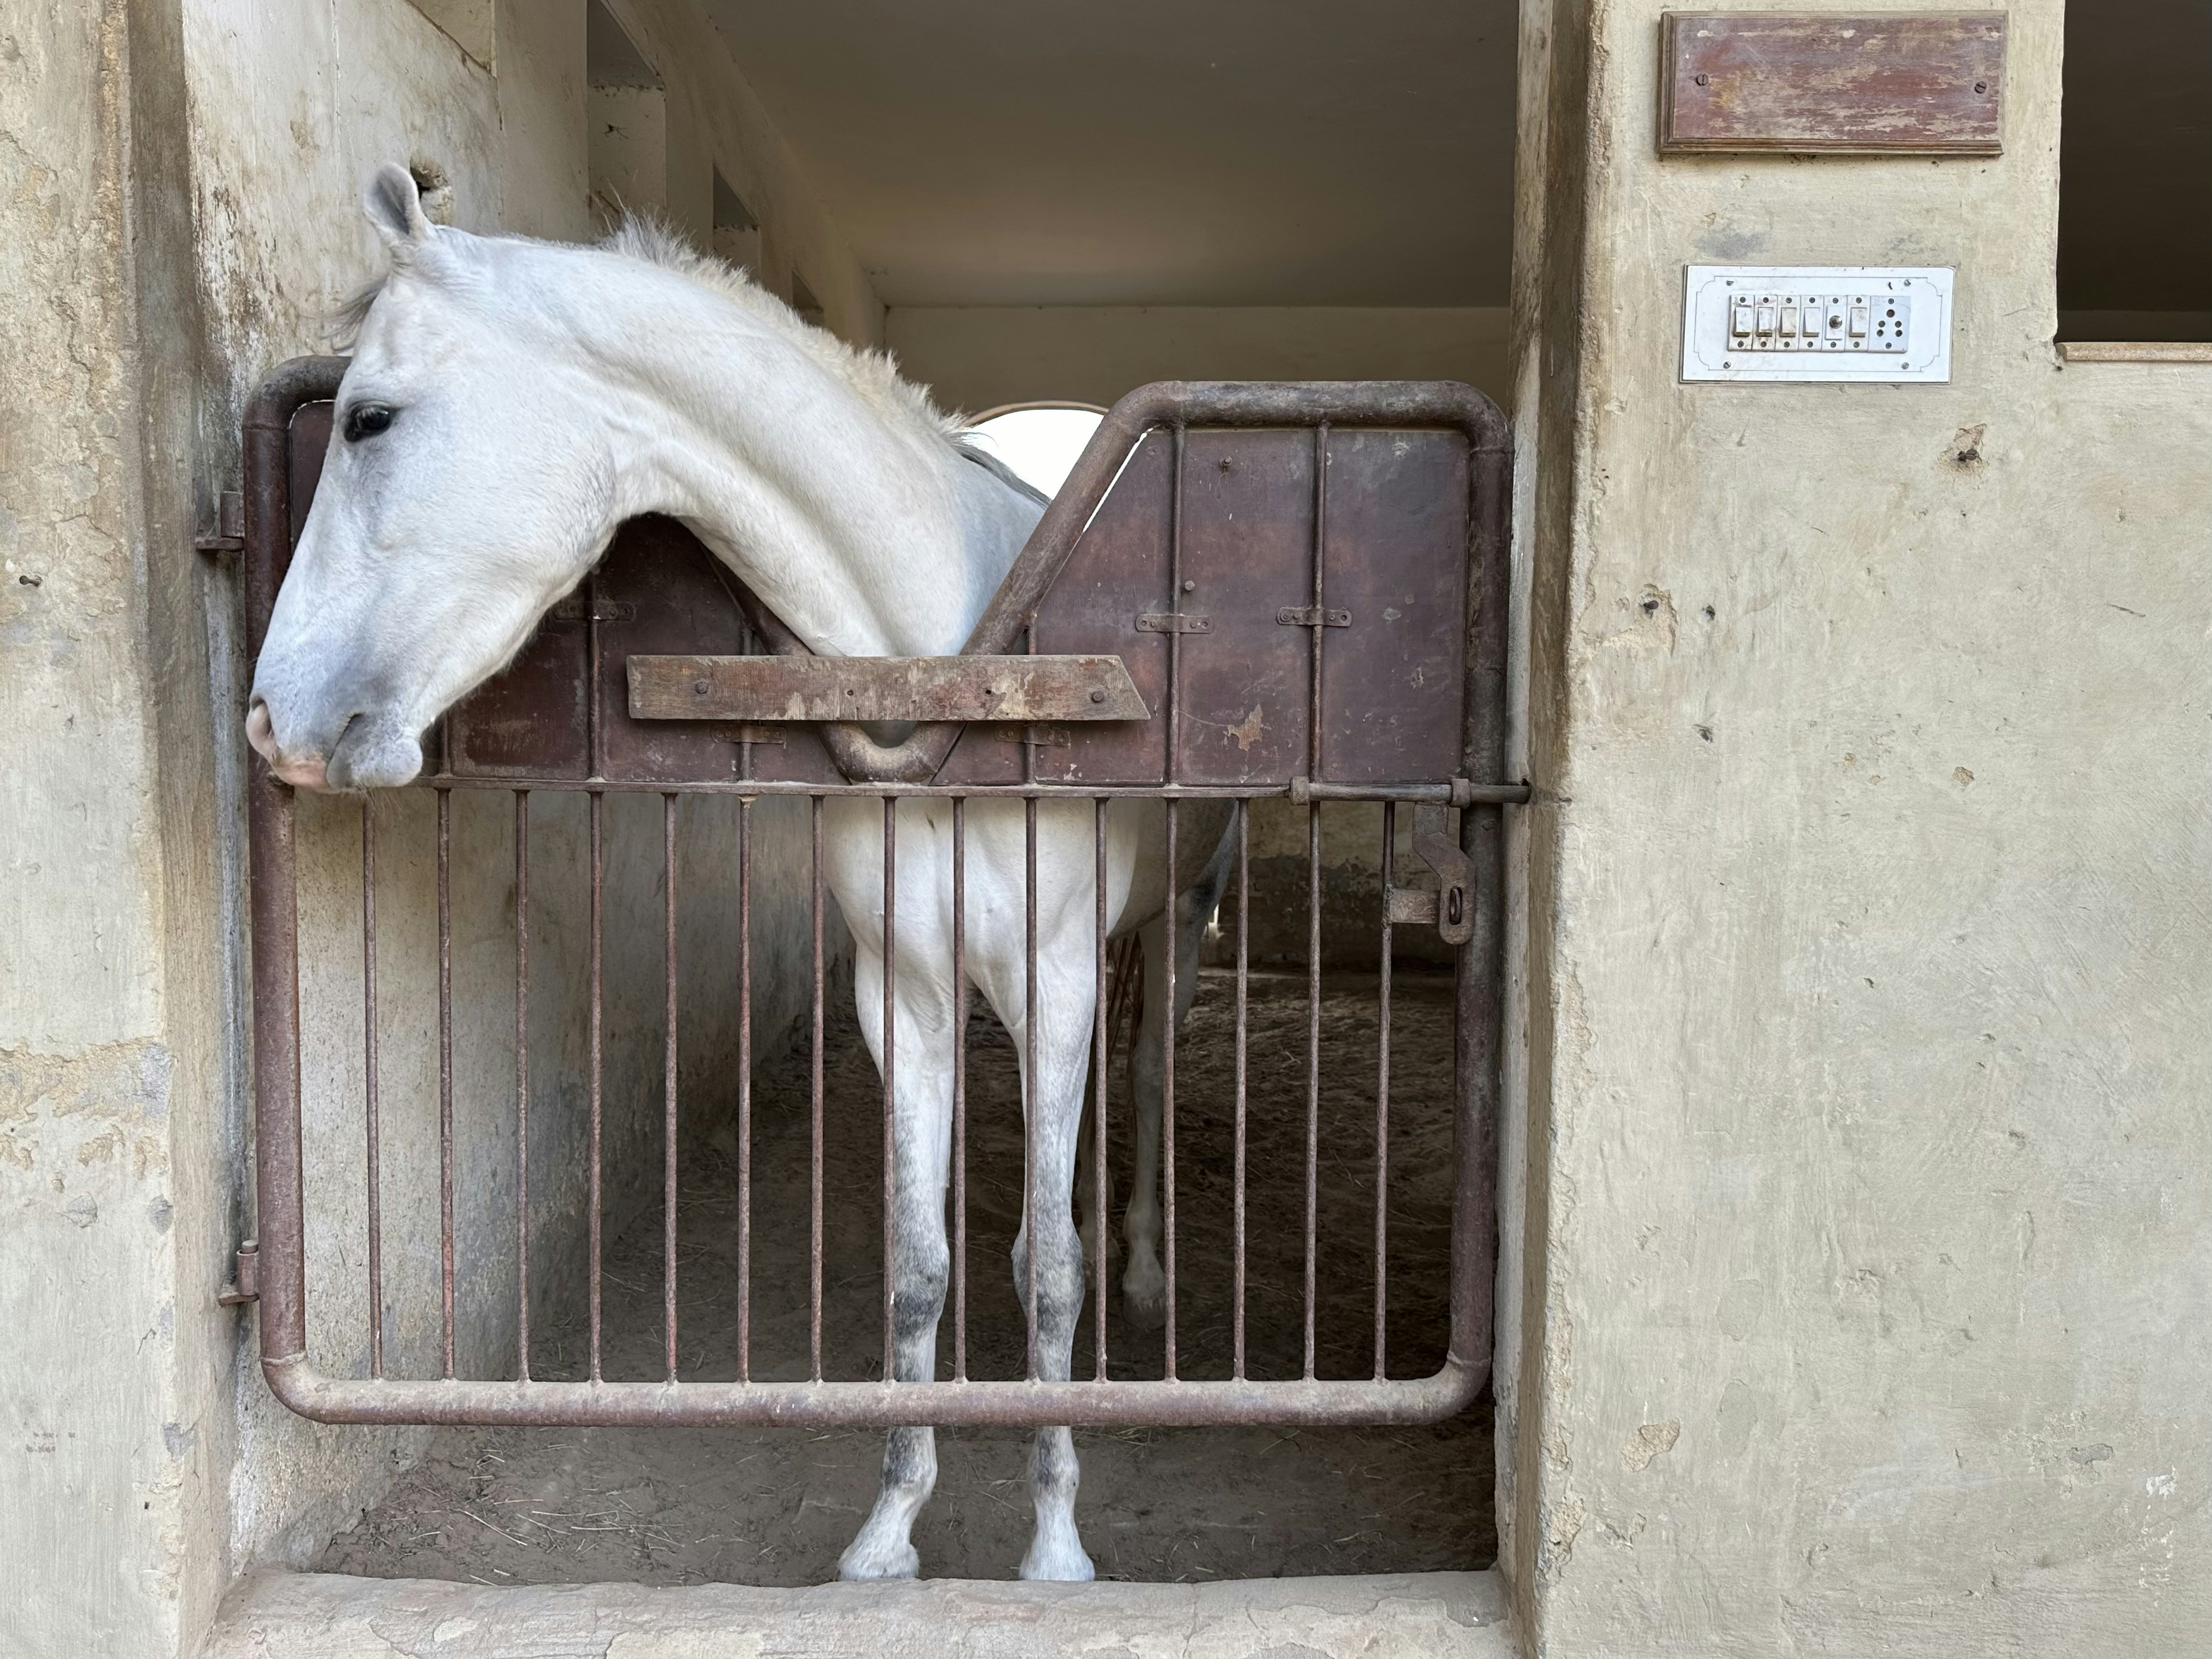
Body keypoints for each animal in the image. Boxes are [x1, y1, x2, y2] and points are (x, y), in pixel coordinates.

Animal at [245, 164, 1233, 1582]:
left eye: (370, 420)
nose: (275, 718)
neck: (944, 679)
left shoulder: (1047, 980)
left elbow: (1046, 1267)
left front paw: (1054, 1546)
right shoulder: (902, 990)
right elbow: (919, 1264)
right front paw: (889, 1531)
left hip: (1180, 919)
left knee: (1146, 1082)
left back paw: (1147, 1266)